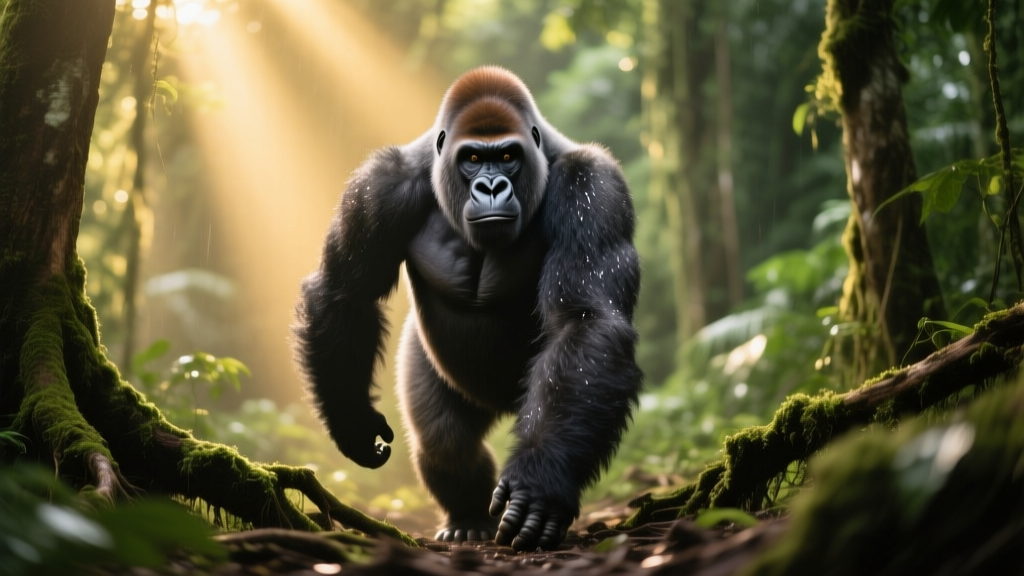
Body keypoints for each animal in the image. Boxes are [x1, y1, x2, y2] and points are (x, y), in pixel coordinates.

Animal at [294, 66, 641, 551]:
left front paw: (542, 479)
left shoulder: (592, 185)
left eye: (508, 156)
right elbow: (344, 292)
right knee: (444, 441)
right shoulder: (378, 186)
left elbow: (585, 320)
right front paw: (352, 419)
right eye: (473, 158)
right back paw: (469, 516)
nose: (491, 186)